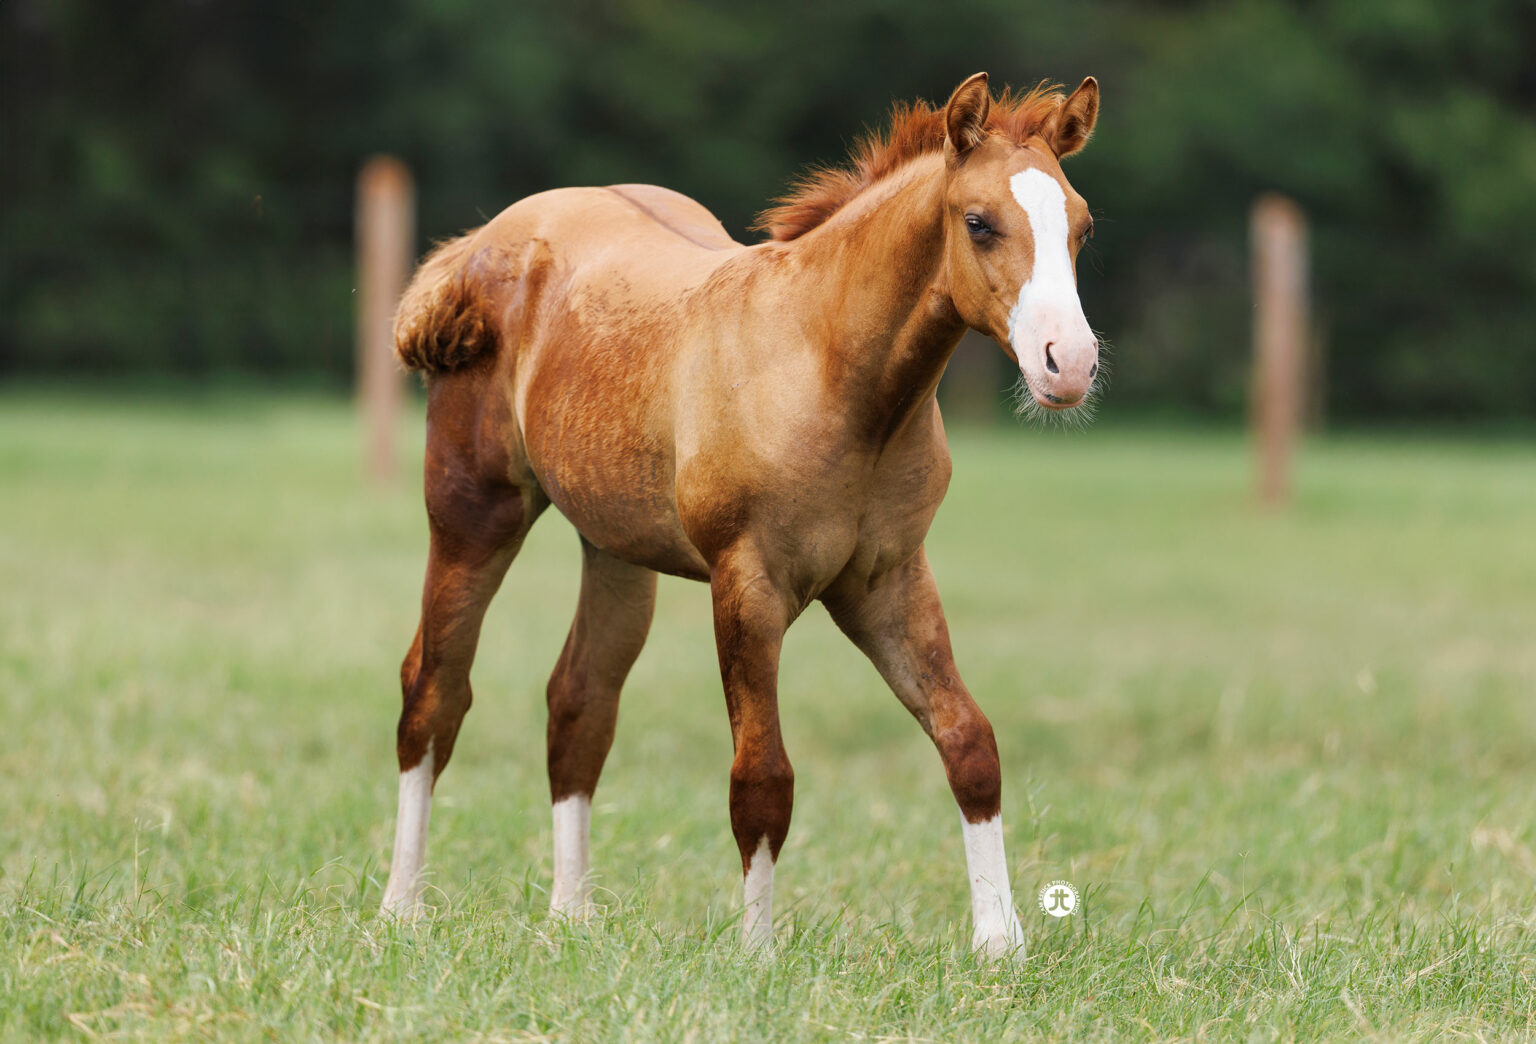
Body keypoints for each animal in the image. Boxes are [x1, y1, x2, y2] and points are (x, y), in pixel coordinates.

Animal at [379, 71, 1102, 957]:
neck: (832, 372)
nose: (1070, 364)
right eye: (979, 222)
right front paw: (758, 952)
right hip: (473, 513)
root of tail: (483, 241)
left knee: (579, 704)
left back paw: (571, 915)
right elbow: (763, 777)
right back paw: (401, 908)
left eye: (1081, 226)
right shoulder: (748, 584)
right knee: (433, 692)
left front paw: (1000, 947)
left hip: (615, 546)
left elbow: (968, 741)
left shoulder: (888, 581)